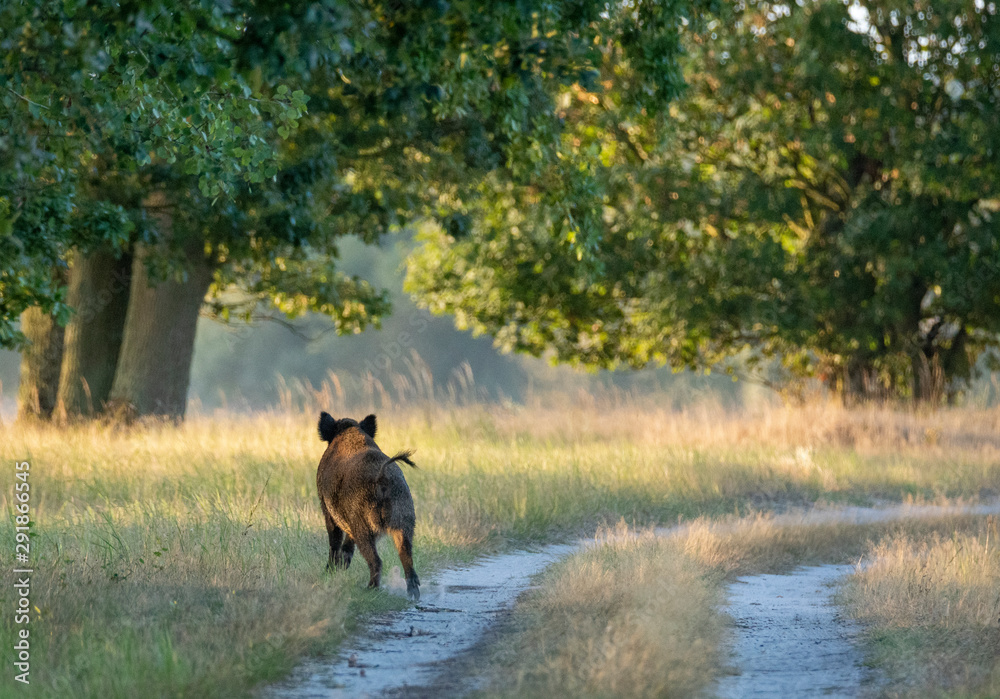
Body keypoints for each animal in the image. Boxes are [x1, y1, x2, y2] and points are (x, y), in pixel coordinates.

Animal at [316, 411, 420, 600]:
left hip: (363, 525)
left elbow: (334, 539)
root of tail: (382, 477)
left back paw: (370, 589)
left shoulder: (326, 507)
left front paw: (330, 571)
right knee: (406, 554)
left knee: (376, 560)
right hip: (405, 517)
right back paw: (413, 594)